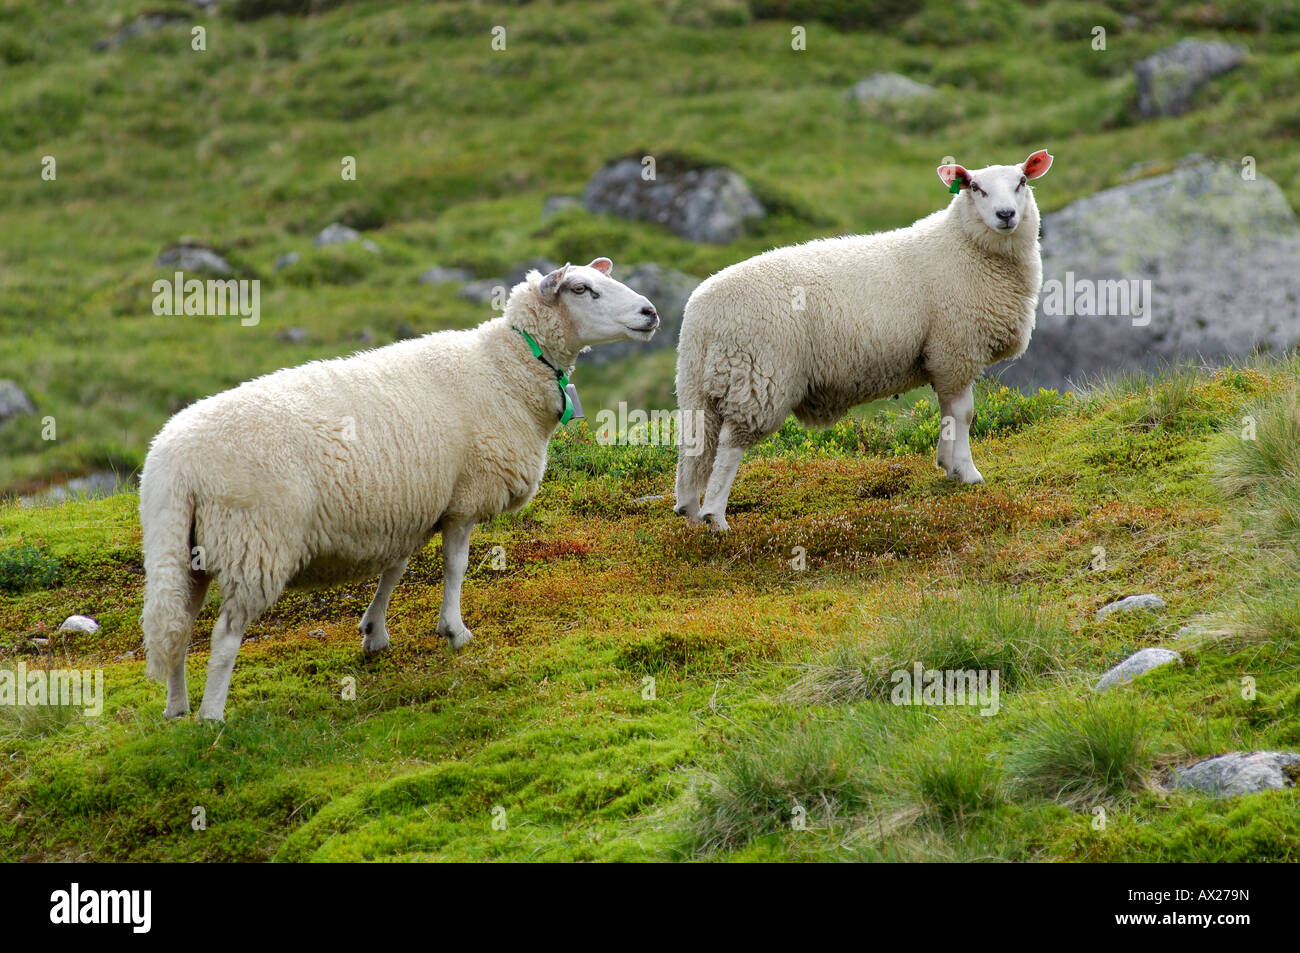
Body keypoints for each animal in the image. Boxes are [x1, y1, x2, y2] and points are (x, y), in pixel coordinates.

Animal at [140, 259, 660, 721]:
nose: (650, 312)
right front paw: (454, 631)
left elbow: (395, 567)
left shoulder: (411, 502)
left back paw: (176, 708)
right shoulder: (464, 497)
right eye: (582, 290)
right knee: (224, 636)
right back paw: (212, 716)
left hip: (181, 550)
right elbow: (455, 566)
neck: (505, 368)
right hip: (254, 544)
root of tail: (173, 465)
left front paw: (375, 632)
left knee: (177, 629)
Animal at [673, 149, 1054, 531]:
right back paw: (715, 518)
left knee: (694, 446)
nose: (1006, 215)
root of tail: (701, 313)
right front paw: (968, 472)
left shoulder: (943, 357)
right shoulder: (956, 347)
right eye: (975, 188)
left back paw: (689, 513)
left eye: (1021, 182)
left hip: (699, 382)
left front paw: (947, 465)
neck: (965, 246)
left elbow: (948, 412)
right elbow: (963, 413)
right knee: (730, 446)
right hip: (758, 376)